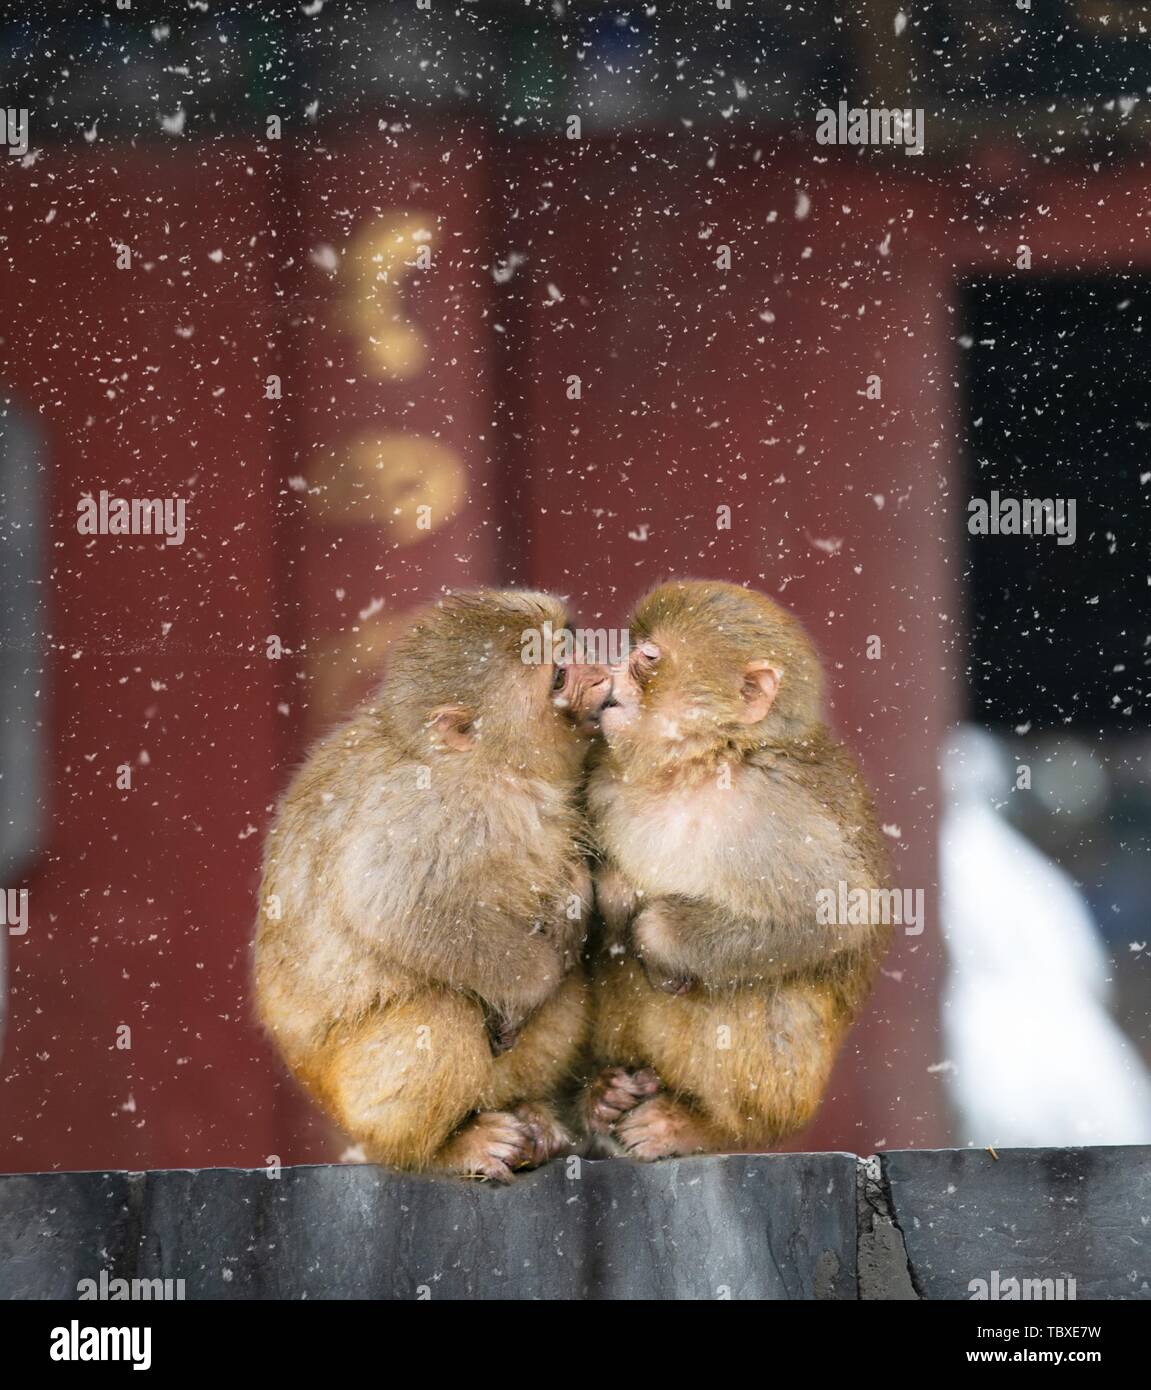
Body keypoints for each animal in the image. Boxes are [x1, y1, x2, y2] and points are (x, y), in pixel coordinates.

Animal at [254, 590, 612, 1181]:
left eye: (570, 643)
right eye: (559, 675)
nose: (603, 674)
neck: (492, 769)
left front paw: (572, 903)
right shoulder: (433, 811)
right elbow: (389, 904)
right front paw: (532, 981)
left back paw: (533, 1118)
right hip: (355, 1093)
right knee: (442, 1012)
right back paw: (444, 1148)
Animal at [581, 579, 892, 1160]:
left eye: (646, 659)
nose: (610, 673)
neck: (696, 767)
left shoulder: (779, 810)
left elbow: (837, 916)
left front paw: (655, 933)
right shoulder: (600, 775)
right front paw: (616, 893)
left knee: (764, 994)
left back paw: (707, 1128)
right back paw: (604, 1095)